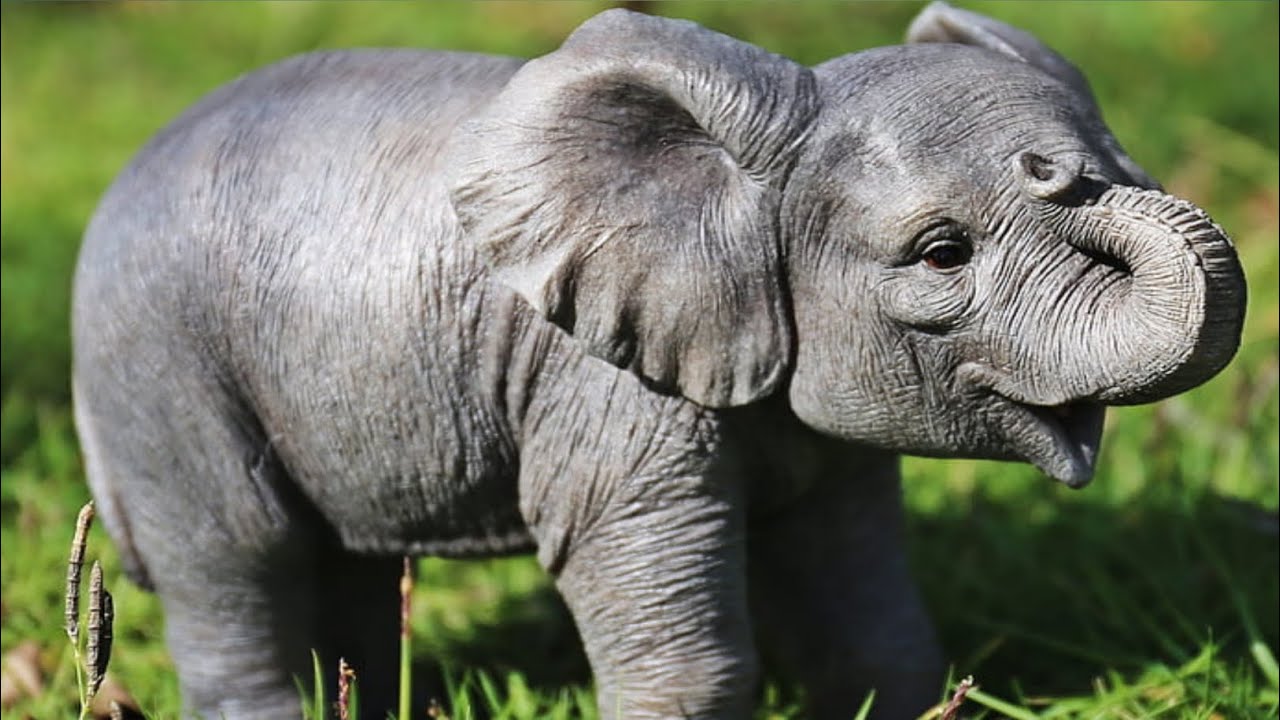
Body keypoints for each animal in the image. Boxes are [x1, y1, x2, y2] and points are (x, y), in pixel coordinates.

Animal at [71, 3, 1246, 718]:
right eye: (942, 252)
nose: (1074, 172)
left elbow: (856, 587)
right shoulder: (603, 384)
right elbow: (645, 561)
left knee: (342, 560)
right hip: (160, 368)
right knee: (242, 554)